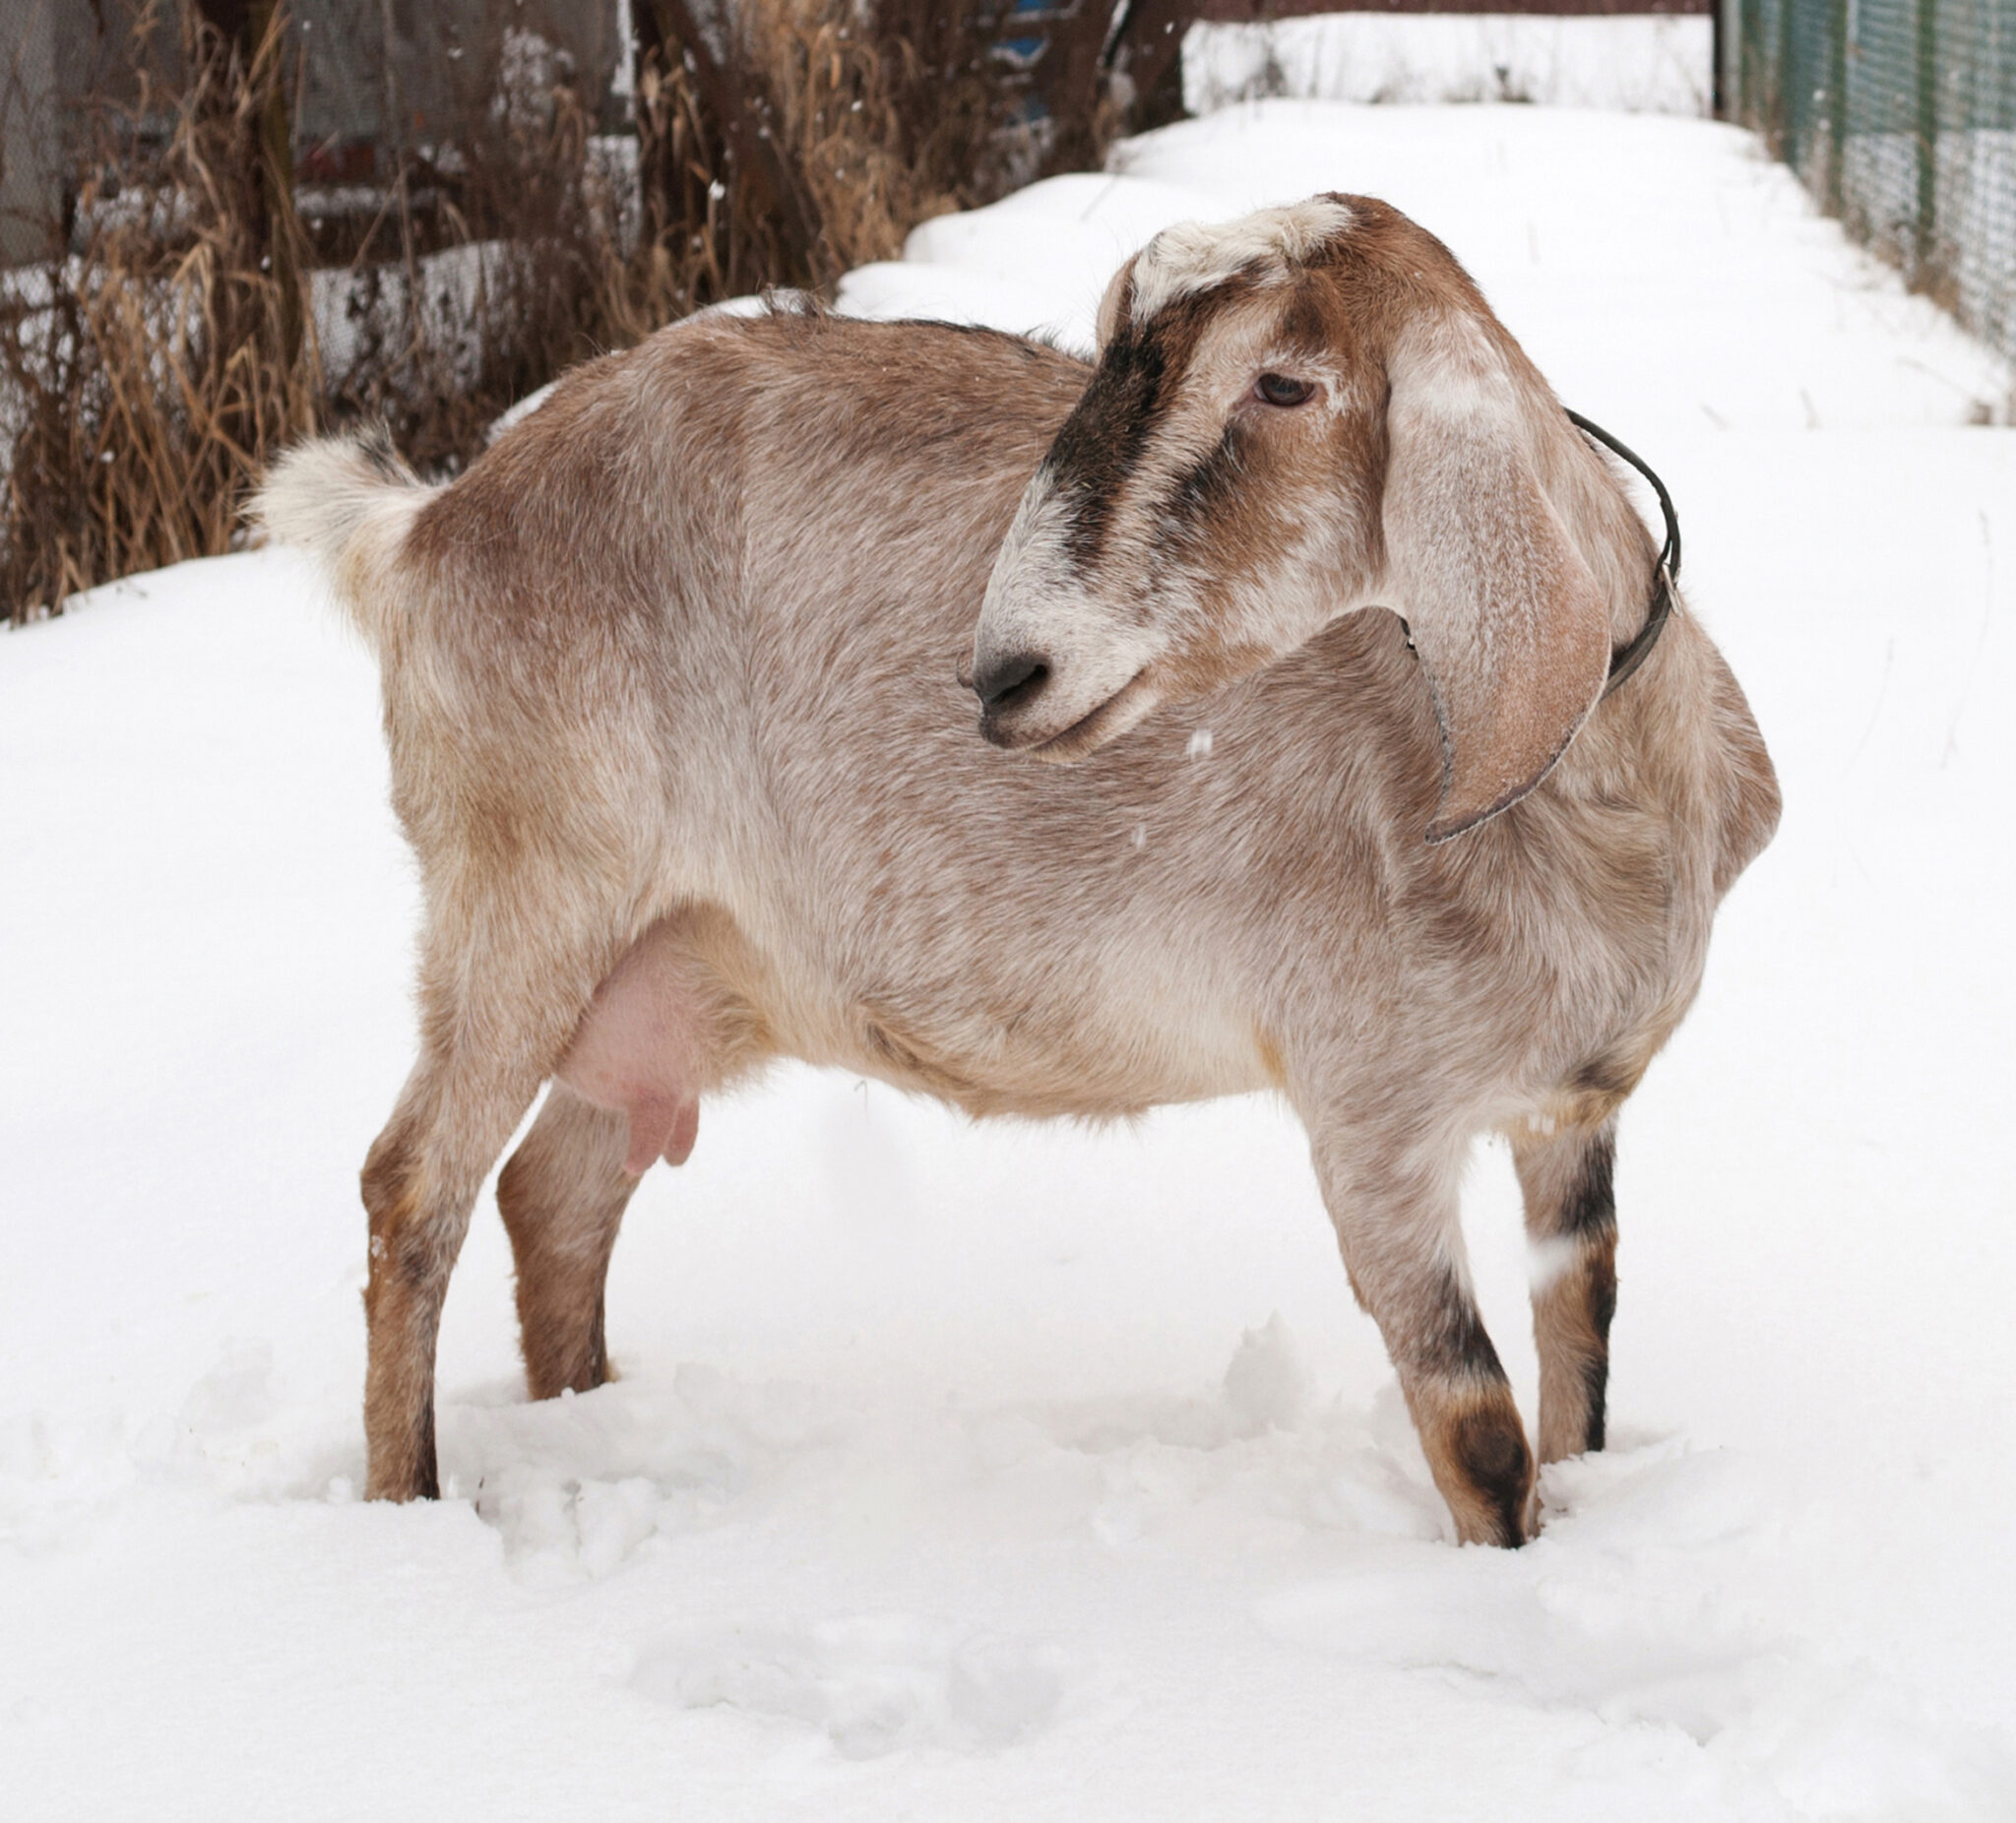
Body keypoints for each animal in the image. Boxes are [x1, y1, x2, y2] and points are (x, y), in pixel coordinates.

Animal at [257, 194, 1779, 1546]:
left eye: (1287, 383)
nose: (1006, 672)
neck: (1584, 803)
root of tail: (430, 523)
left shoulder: (1572, 1107)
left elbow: (1581, 1341)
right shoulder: (1372, 1112)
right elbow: (1478, 1431)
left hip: (674, 960)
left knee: (556, 1193)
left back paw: (588, 1416)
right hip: (524, 887)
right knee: (414, 1186)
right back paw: (410, 1509)